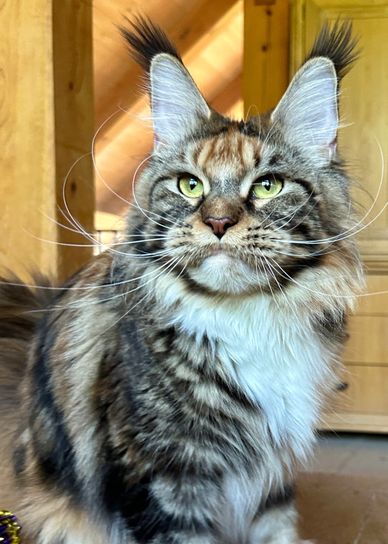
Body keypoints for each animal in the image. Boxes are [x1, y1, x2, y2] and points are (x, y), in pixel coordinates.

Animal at [0, 17, 364, 544]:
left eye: (267, 186)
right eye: (190, 185)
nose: (218, 221)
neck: (248, 317)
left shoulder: (271, 482)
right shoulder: (164, 476)